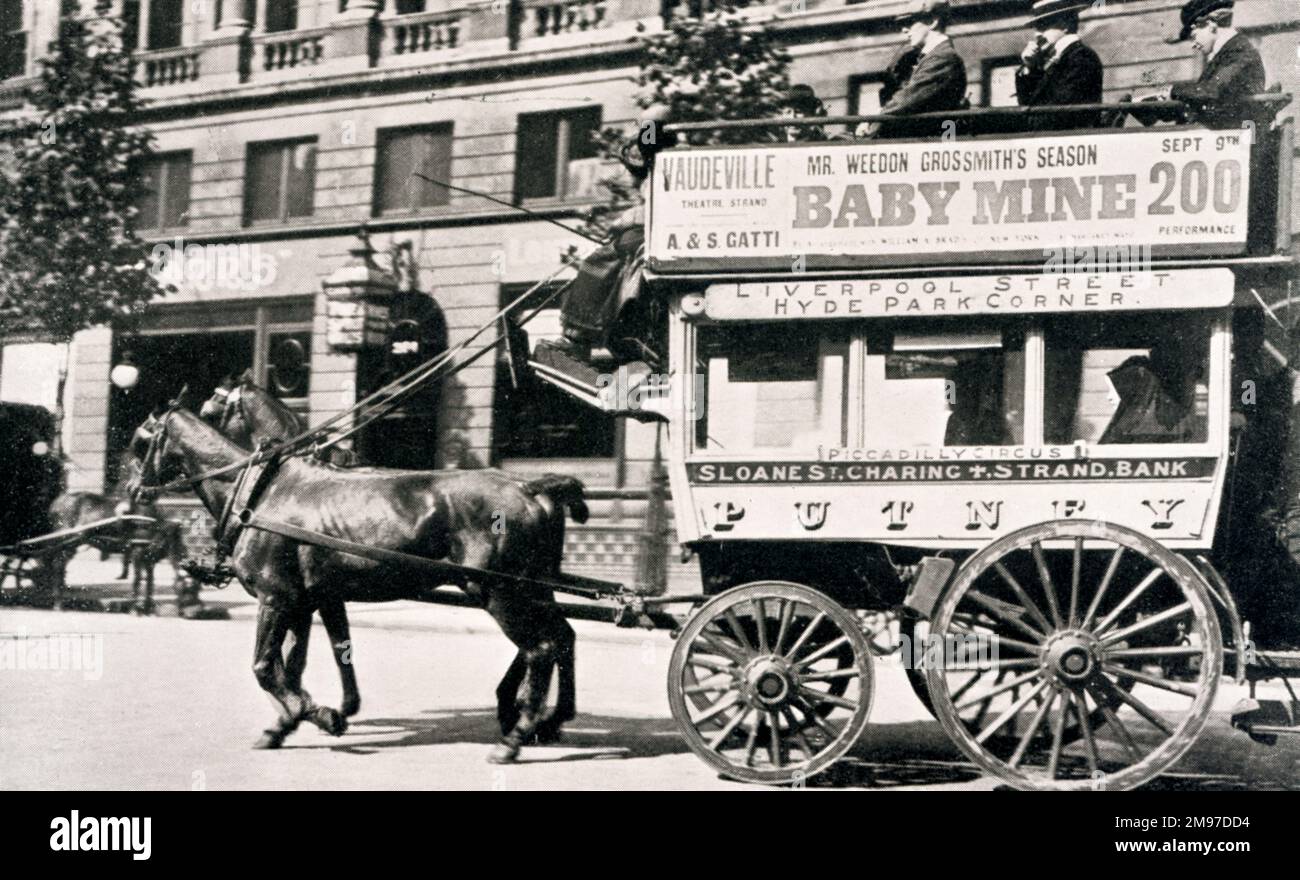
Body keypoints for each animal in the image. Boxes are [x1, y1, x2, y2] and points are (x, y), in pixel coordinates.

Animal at [128, 400, 585, 759]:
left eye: (138, 441)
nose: (131, 489)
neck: (259, 496)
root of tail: (530, 486)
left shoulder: (275, 597)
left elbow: (265, 666)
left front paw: (319, 715)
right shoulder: (311, 599)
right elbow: (305, 662)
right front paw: (293, 721)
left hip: (499, 592)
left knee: (541, 649)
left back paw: (516, 736)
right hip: (534, 590)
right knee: (562, 636)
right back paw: (551, 717)